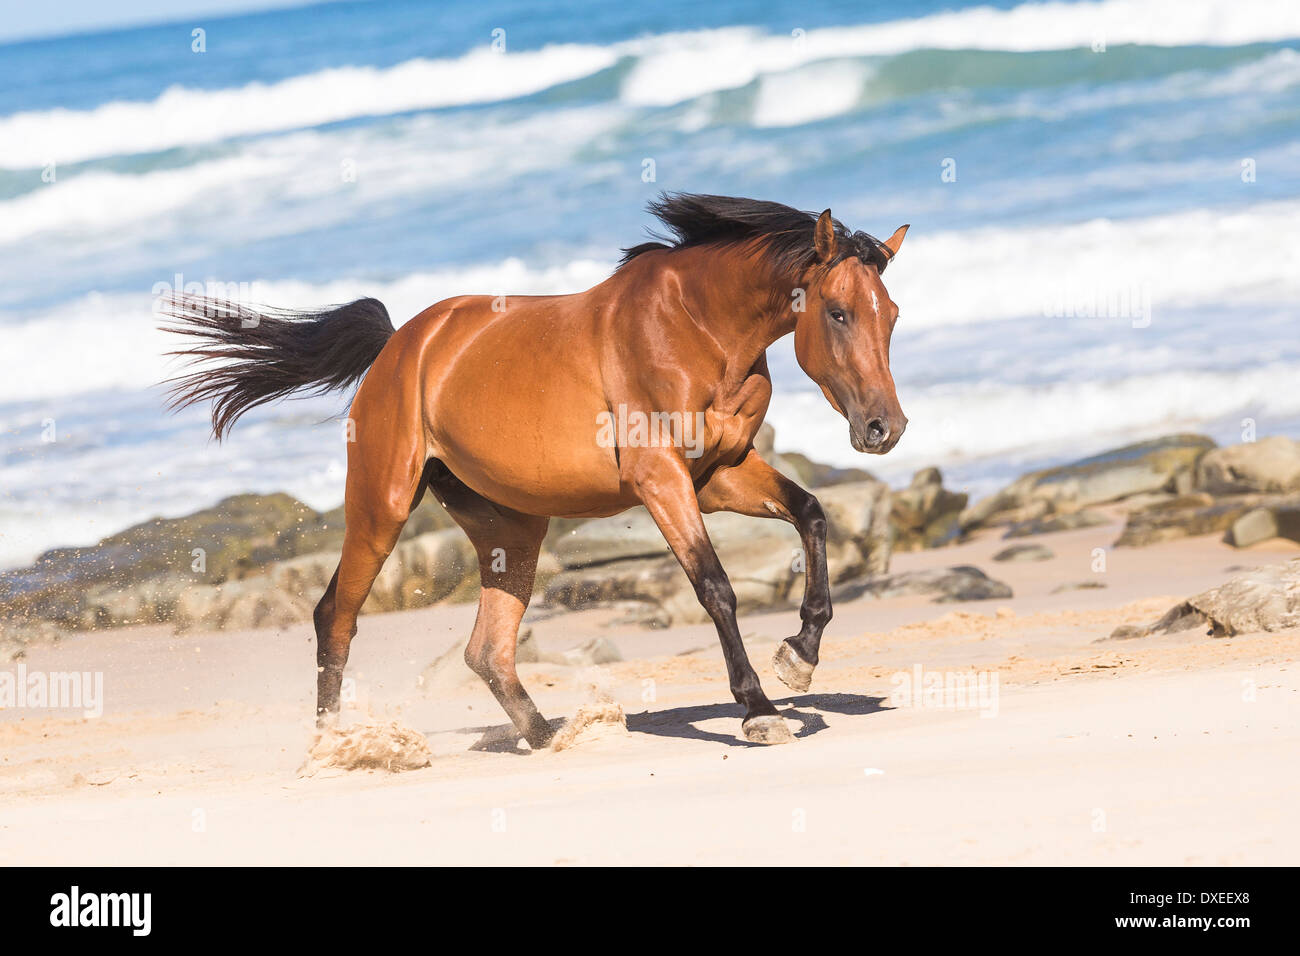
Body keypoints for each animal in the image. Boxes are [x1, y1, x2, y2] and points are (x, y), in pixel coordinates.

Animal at [162, 194, 909, 748]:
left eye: (893, 314)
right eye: (838, 312)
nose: (885, 428)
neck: (695, 329)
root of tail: (401, 345)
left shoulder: (720, 473)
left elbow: (811, 513)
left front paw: (799, 655)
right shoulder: (662, 480)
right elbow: (716, 587)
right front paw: (759, 711)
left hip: (514, 527)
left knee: (486, 649)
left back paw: (546, 733)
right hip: (381, 505)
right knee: (335, 618)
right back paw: (331, 745)